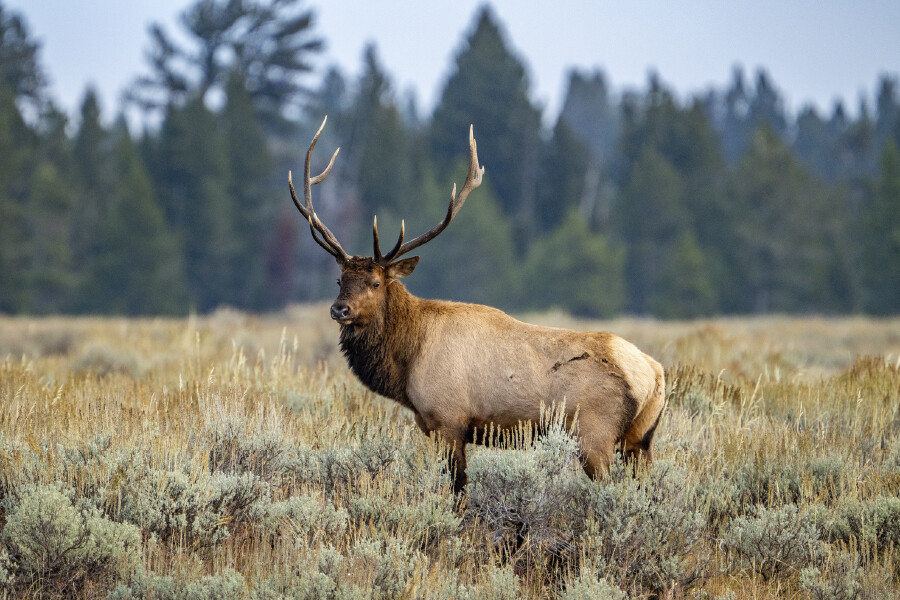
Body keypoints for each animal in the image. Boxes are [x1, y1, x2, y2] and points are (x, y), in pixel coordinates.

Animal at [289, 117, 666, 493]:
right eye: (339, 280)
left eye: (376, 283)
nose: (339, 310)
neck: (407, 362)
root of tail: (655, 374)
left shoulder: (448, 420)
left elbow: (458, 490)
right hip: (640, 439)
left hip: (595, 433)